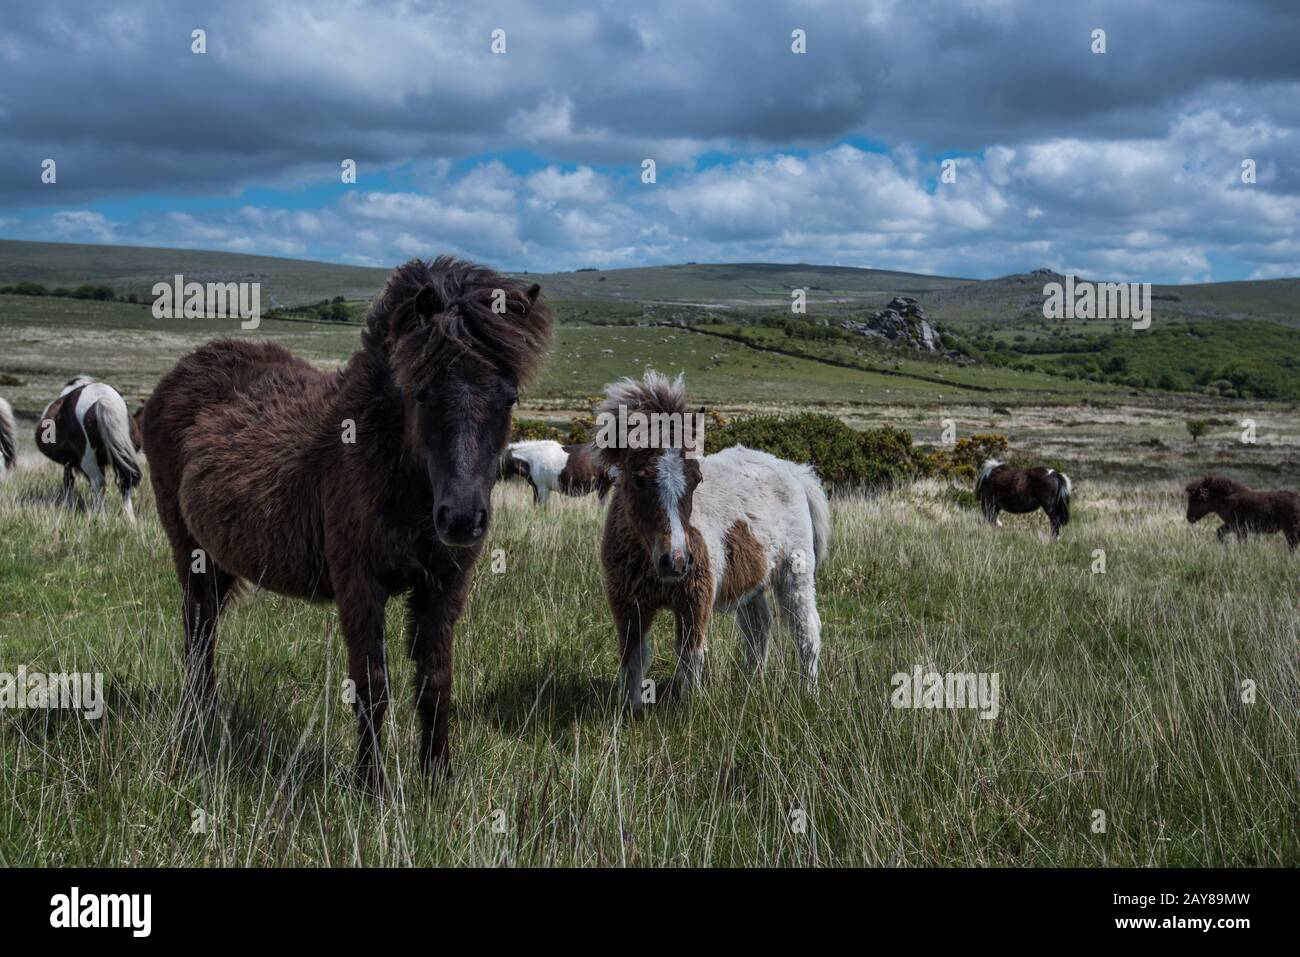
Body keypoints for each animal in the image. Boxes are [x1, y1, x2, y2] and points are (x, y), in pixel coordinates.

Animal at [36, 376, 142, 520]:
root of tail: (102, 397)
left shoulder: (69, 462)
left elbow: (68, 481)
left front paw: (69, 506)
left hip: (87, 459)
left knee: (98, 483)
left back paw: (101, 516)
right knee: (124, 482)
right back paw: (129, 519)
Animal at [143, 257, 552, 790]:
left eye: (509, 398)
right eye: (422, 394)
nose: (462, 519)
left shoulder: (444, 586)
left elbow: (435, 680)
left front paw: (437, 779)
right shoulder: (360, 584)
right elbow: (371, 684)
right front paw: (370, 786)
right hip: (190, 553)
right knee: (198, 632)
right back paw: (199, 720)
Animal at [595, 371, 829, 711]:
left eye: (696, 479)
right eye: (638, 479)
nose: (676, 561)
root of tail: (793, 470)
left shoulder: (695, 599)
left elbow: (691, 657)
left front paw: (689, 711)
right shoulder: (627, 604)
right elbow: (632, 660)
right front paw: (630, 711)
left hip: (795, 573)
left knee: (806, 631)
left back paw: (808, 693)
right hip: (752, 580)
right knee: (759, 628)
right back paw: (751, 685)